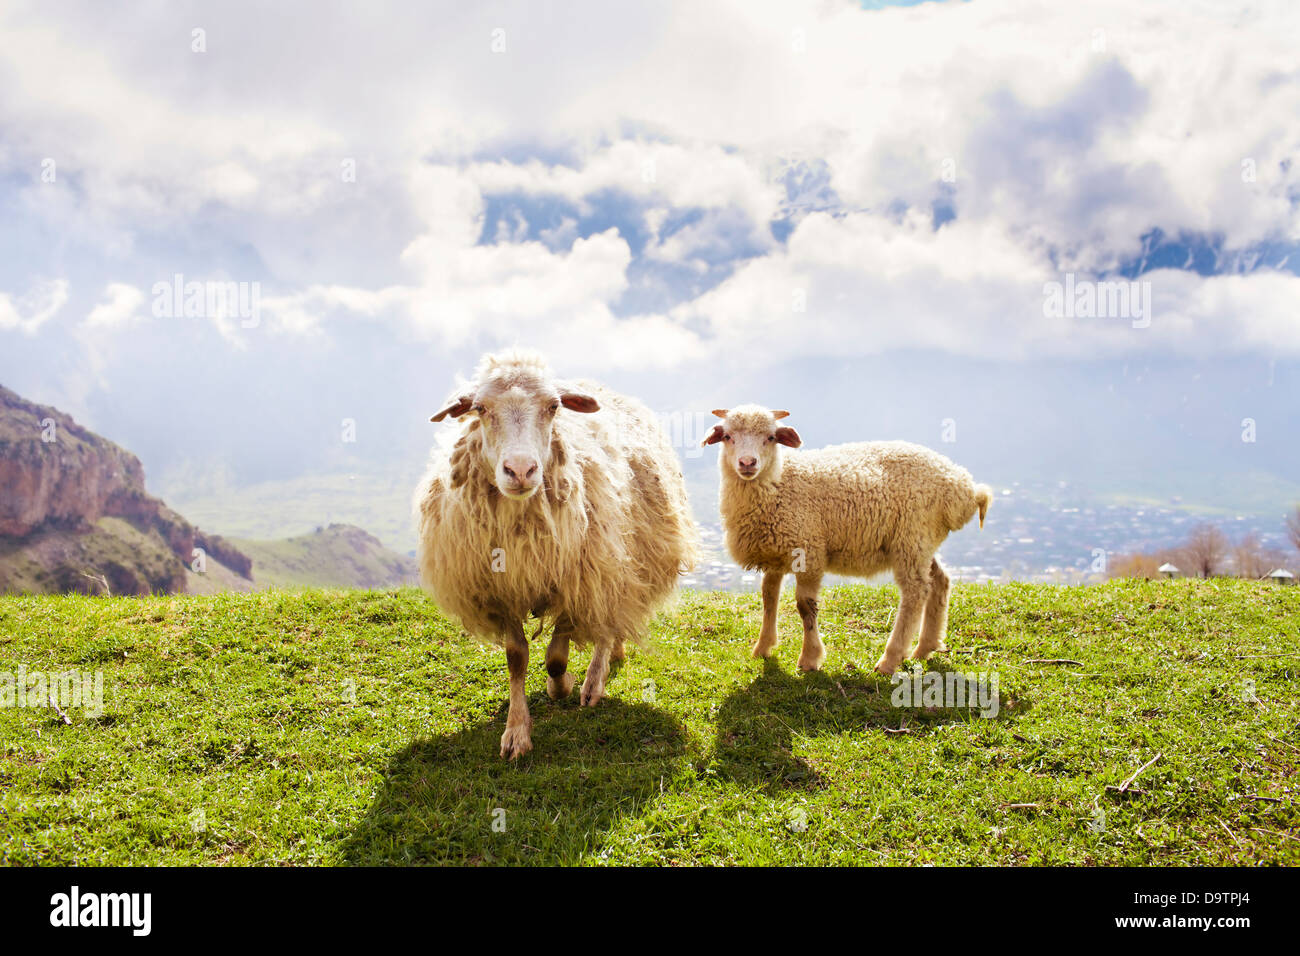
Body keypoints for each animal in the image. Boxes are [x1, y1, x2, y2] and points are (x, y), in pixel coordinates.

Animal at [415, 351, 699, 759]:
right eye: (480, 408)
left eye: (553, 407)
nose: (520, 470)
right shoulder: (502, 590)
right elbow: (516, 657)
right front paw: (516, 731)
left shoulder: (577, 579)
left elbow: (556, 657)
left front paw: (560, 686)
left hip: (614, 561)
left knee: (605, 625)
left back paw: (594, 682)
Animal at [702, 405, 991, 676]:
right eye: (727, 436)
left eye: (770, 437)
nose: (747, 463)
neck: (779, 483)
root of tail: (962, 485)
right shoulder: (777, 551)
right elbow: (769, 596)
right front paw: (763, 647)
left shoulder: (809, 551)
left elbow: (805, 606)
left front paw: (810, 658)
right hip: (922, 541)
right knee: (939, 580)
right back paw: (924, 648)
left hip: (912, 536)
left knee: (916, 591)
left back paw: (890, 659)